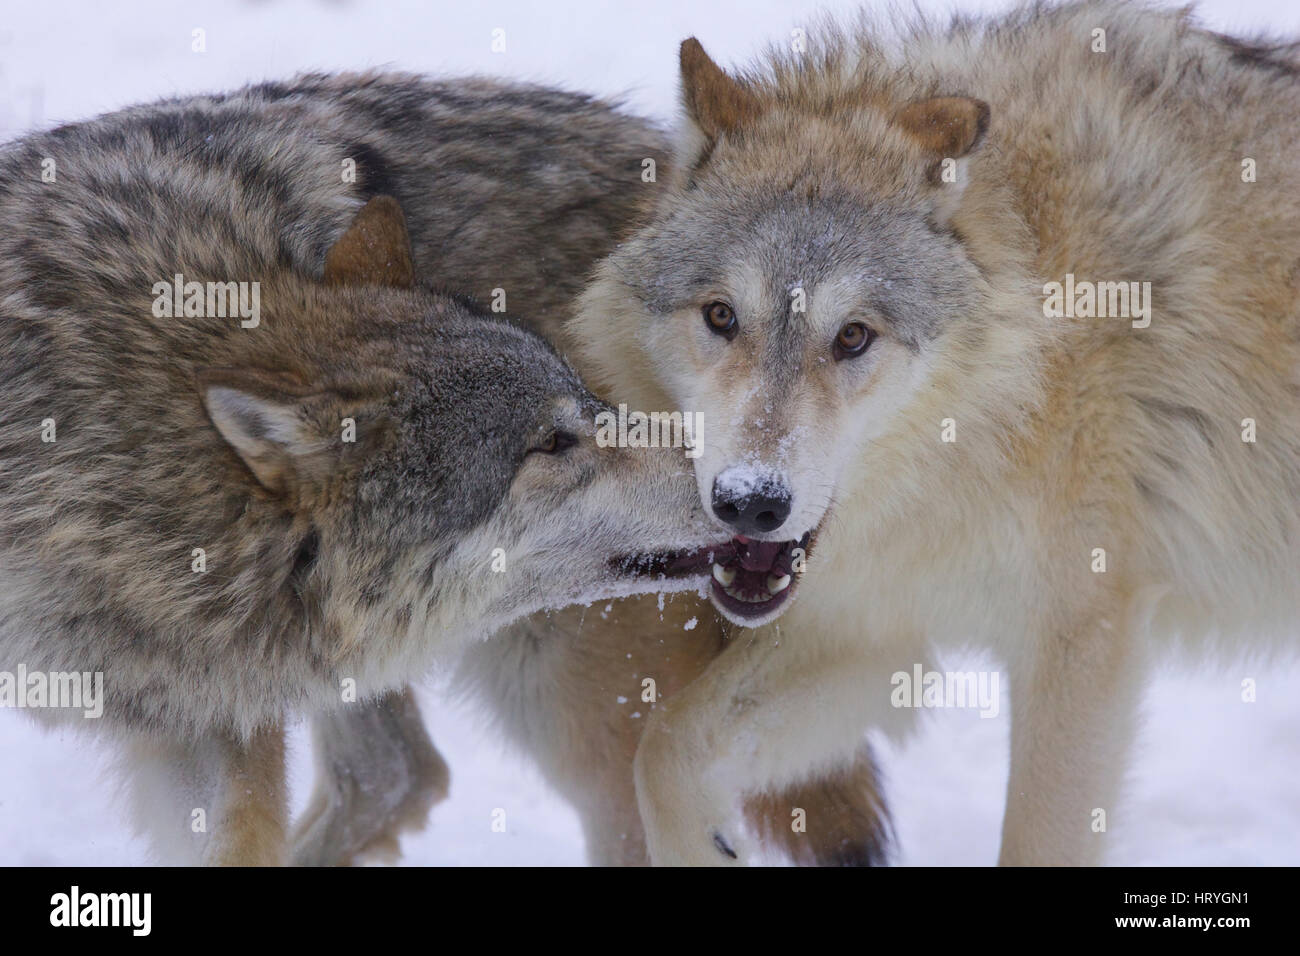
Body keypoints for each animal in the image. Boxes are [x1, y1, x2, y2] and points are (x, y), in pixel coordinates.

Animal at [565, 0, 1300, 864]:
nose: (751, 502)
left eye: (853, 336)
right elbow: (663, 751)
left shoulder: (1083, 638)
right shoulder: (877, 623)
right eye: (721, 316)